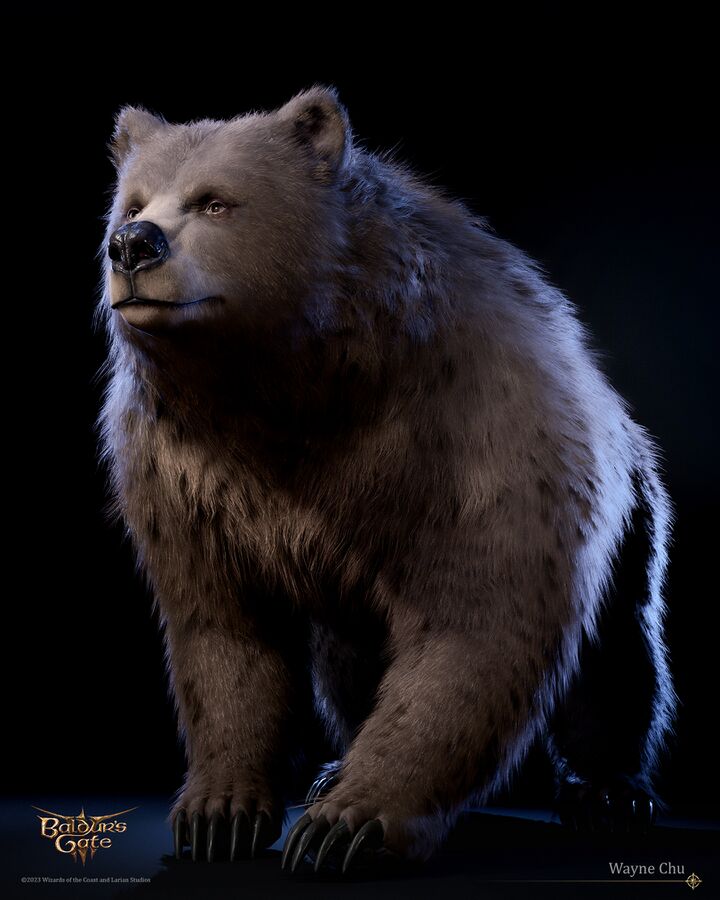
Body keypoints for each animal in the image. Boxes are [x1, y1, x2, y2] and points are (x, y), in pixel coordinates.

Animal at [98, 85, 675, 874]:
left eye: (215, 201)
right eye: (132, 202)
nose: (132, 246)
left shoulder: (476, 438)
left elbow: (476, 628)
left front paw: (347, 826)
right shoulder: (183, 476)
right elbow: (224, 629)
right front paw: (219, 813)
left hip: (632, 501)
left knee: (619, 651)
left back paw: (611, 789)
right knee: (349, 664)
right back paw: (331, 765)